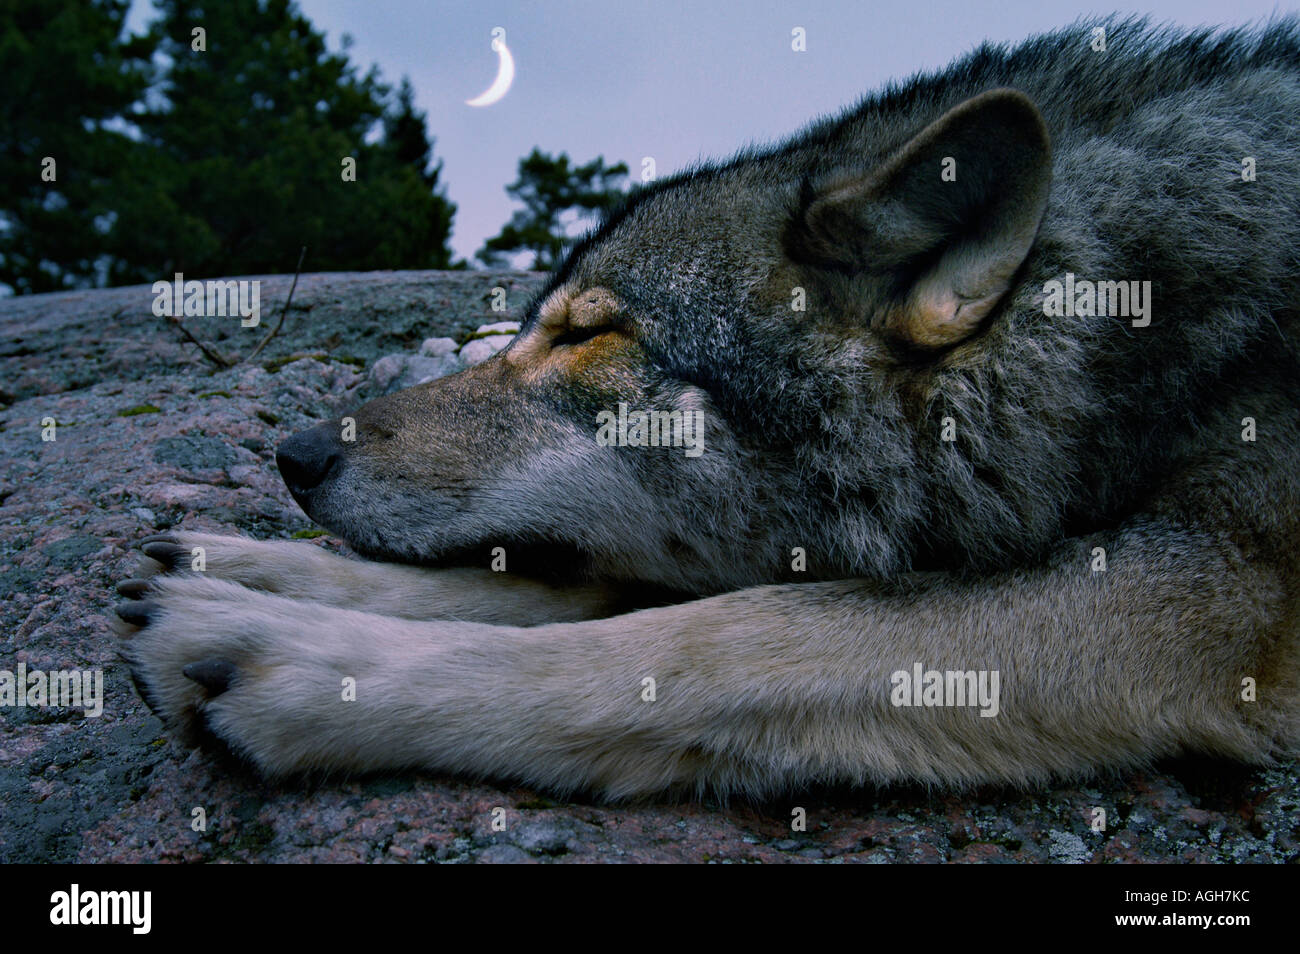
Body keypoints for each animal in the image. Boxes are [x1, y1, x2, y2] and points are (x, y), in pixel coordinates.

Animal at [115, 18, 1300, 798]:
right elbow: (571, 594)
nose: (295, 454)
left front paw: (306, 660)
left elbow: (708, 639)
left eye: (588, 336)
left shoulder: (1198, 592)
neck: (1133, 331)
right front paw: (262, 570)